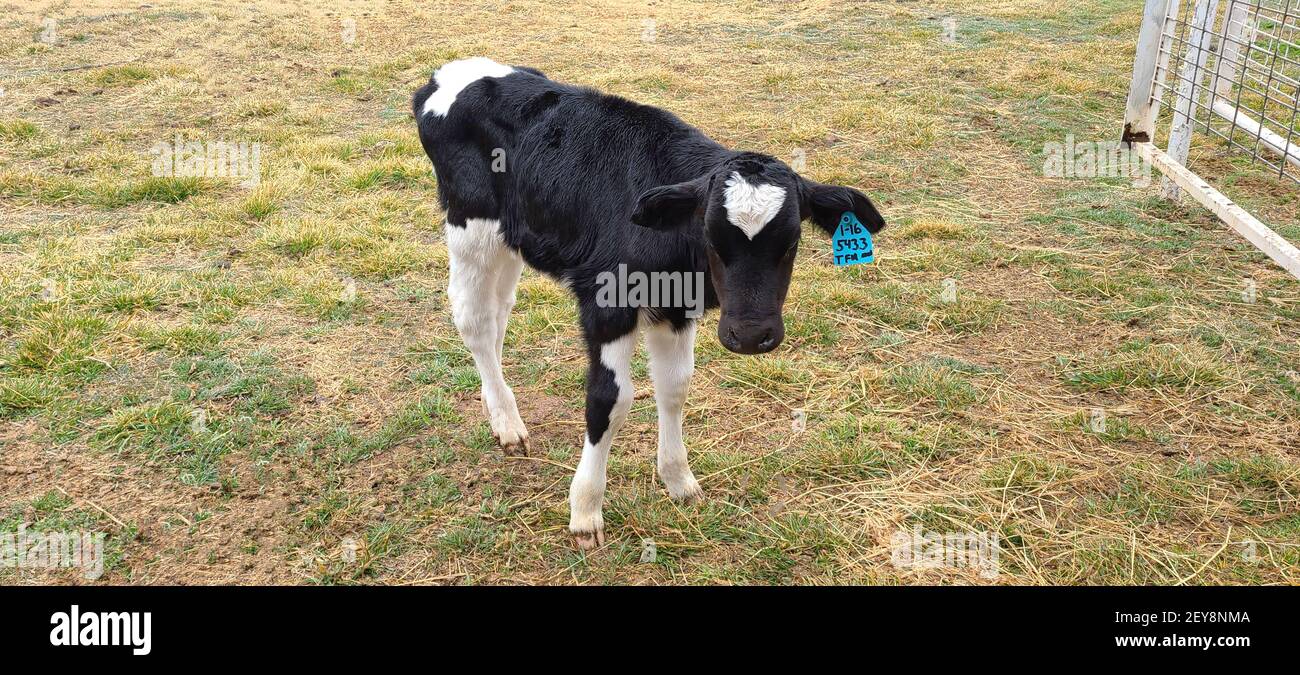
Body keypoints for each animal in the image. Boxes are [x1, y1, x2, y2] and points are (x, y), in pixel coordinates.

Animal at [412, 57, 885, 549]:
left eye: (791, 242)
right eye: (712, 238)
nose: (752, 335)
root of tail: (449, 72)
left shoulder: (675, 305)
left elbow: (675, 387)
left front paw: (679, 480)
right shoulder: (607, 302)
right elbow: (610, 399)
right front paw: (586, 510)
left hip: (510, 237)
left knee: (500, 313)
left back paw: (500, 410)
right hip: (470, 225)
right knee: (475, 321)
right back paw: (508, 424)